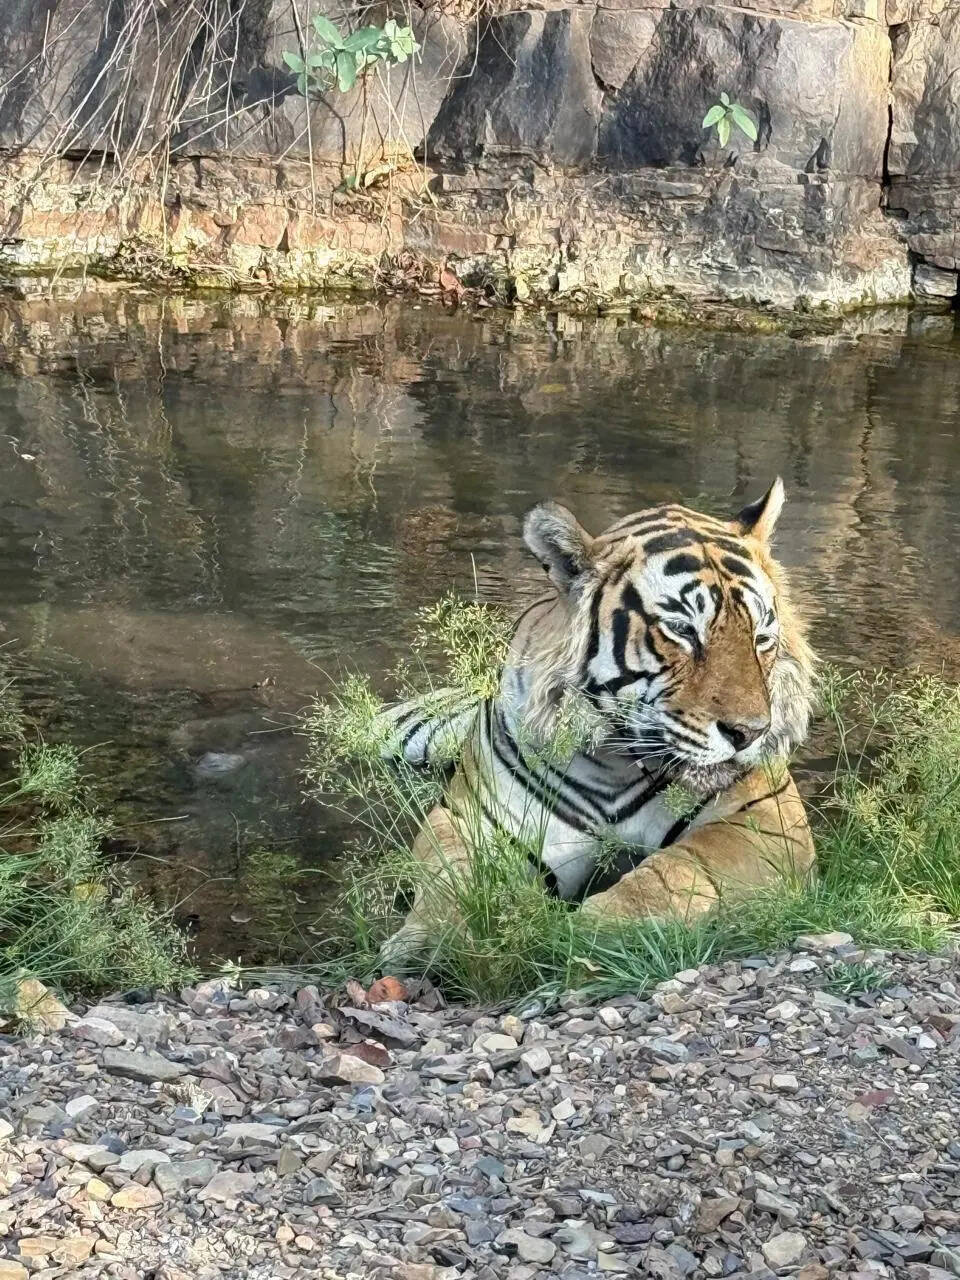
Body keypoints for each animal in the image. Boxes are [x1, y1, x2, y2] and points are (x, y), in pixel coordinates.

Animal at [377, 479, 816, 962]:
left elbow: (675, 872)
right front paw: (428, 943)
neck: (615, 760)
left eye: (760, 637)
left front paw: (575, 933)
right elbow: (452, 877)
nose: (751, 732)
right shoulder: (473, 818)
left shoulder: (769, 822)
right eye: (683, 631)